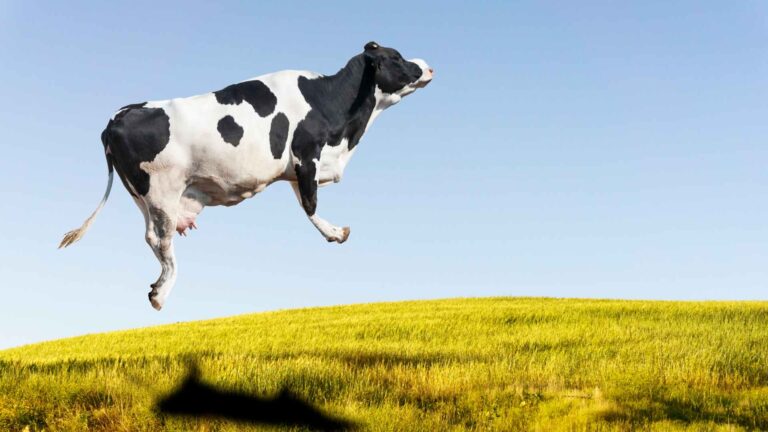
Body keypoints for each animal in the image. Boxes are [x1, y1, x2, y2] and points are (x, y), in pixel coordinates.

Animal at [59, 42, 433, 310]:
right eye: (396, 57)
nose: (429, 65)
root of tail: (117, 116)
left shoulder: (297, 168)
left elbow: (306, 201)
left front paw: (336, 231)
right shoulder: (306, 154)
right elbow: (311, 205)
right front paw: (336, 233)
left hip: (143, 196)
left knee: (153, 236)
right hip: (162, 191)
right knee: (159, 240)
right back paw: (160, 293)